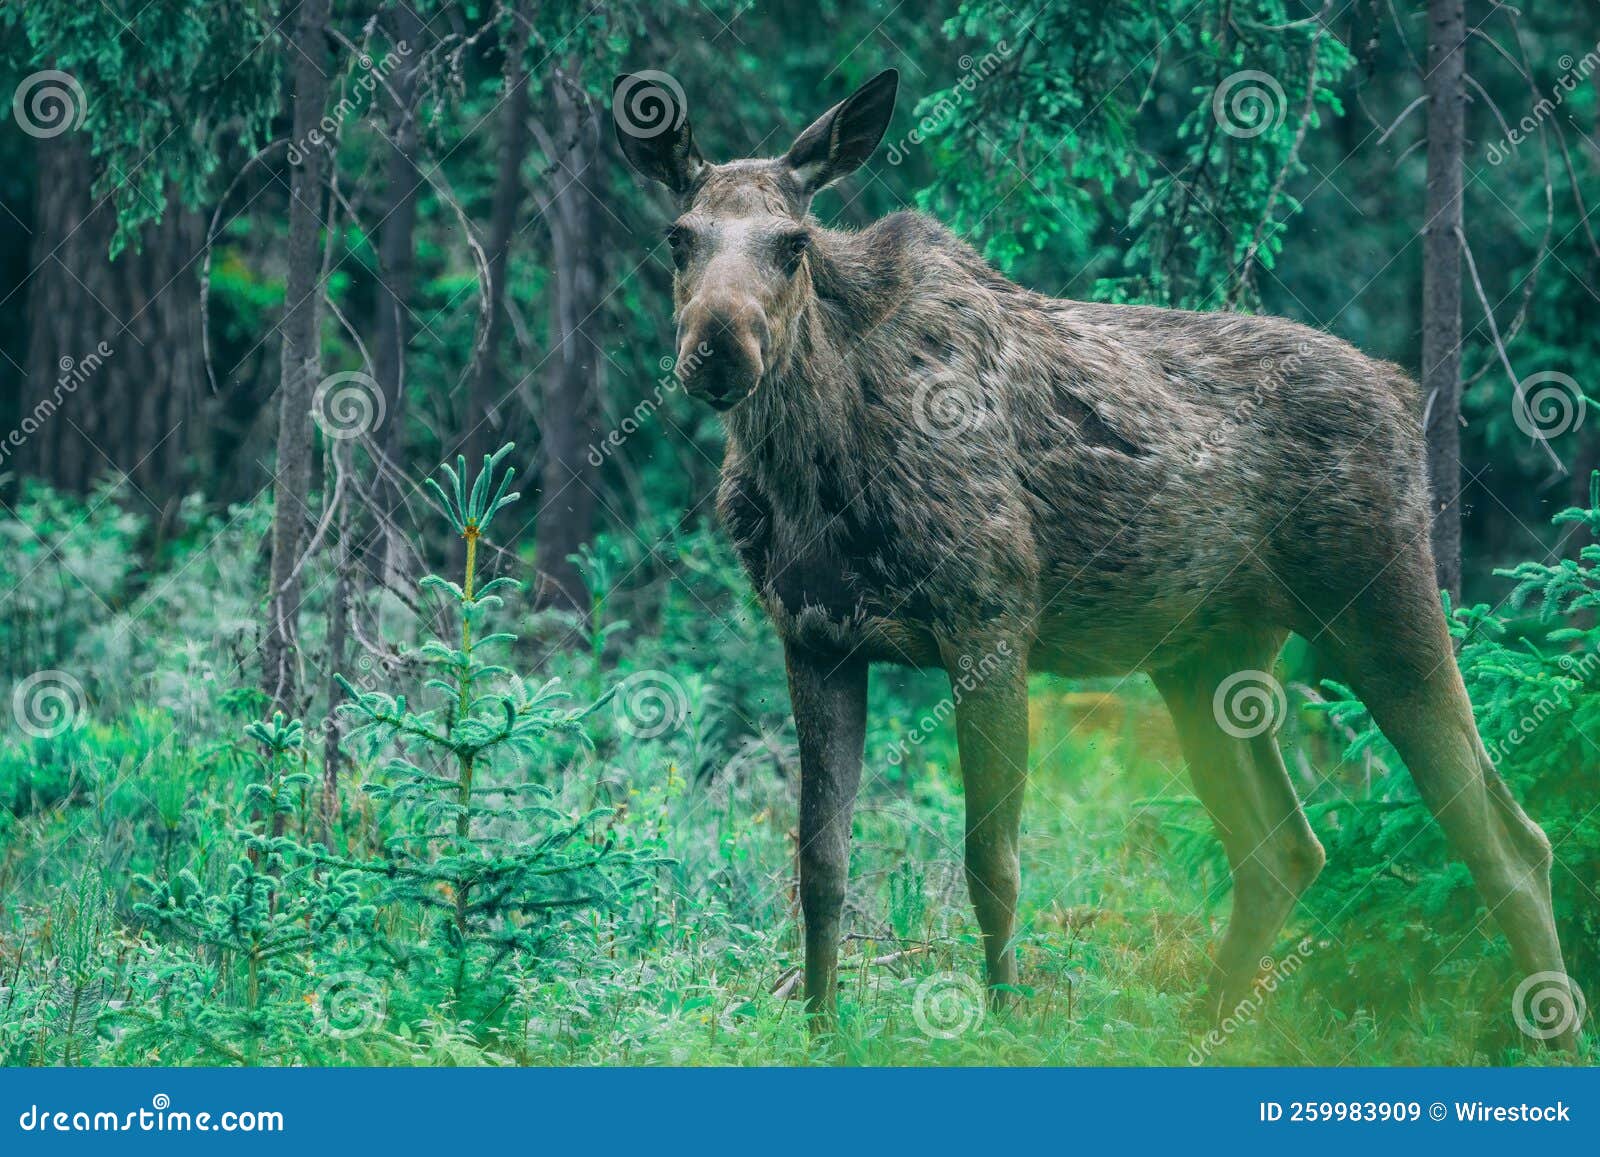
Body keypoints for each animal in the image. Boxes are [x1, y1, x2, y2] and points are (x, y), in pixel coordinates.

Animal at [613, 67, 1579, 1047]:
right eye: (678, 236)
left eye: (794, 242)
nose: (719, 348)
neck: (818, 470)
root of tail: (1402, 392)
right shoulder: (814, 637)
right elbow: (820, 865)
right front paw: (820, 1028)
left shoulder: (990, 617)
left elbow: (992, 860)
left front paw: (1004, 1024)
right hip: (1207, 659)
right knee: (1285, 848)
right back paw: (1201, 1030)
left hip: (1382, 600)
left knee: (1510, 838)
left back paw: (1552, 1034)